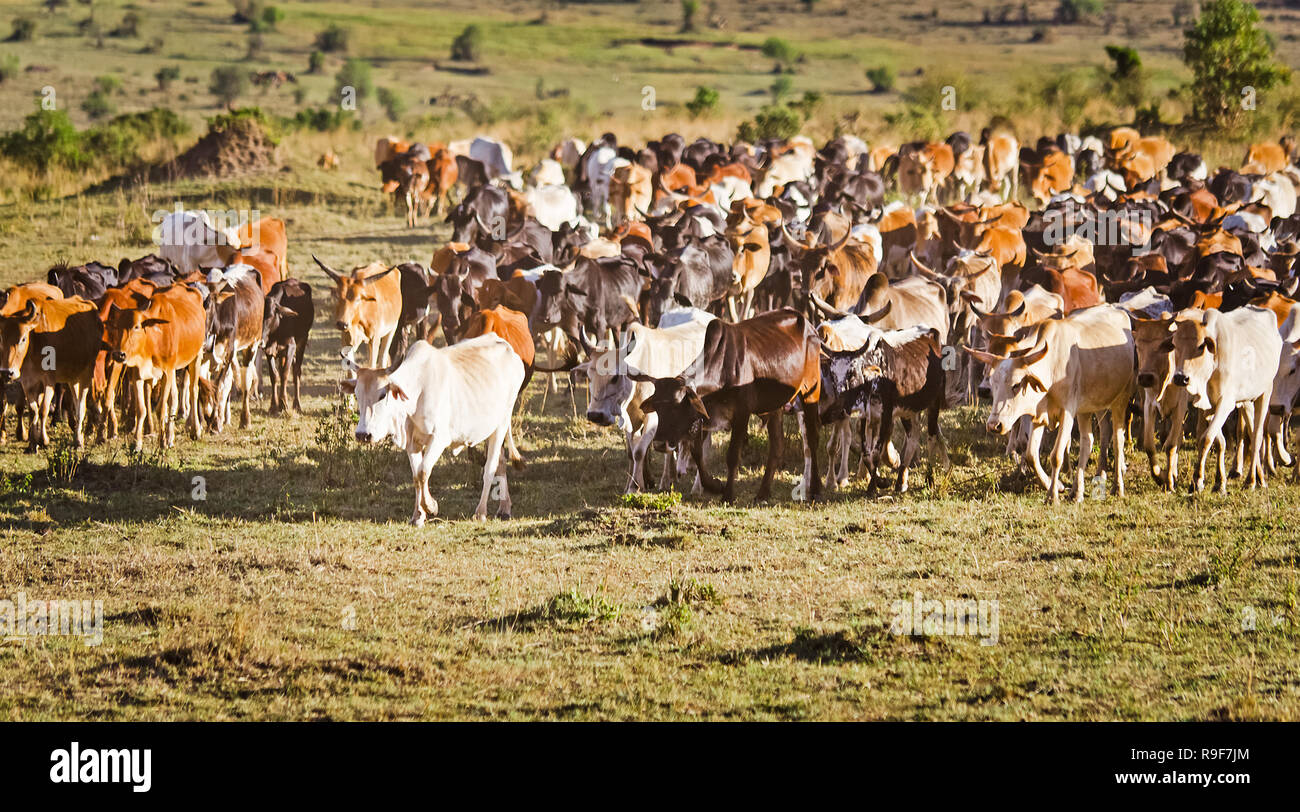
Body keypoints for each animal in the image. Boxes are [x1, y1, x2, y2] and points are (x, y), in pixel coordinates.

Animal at [343, 336, 525, 524]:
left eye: (382, 395)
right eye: (357, 395)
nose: (363, 434)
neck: (416, 392)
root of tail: (507, 347)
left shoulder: (439, 439)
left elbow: (424, 471)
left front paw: (431, 506)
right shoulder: (412, 444)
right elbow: (416, 476)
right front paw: (418, 515)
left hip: (501, 424)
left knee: (490, 467)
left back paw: (481, 512)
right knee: (501, 463)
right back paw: (504, 508)